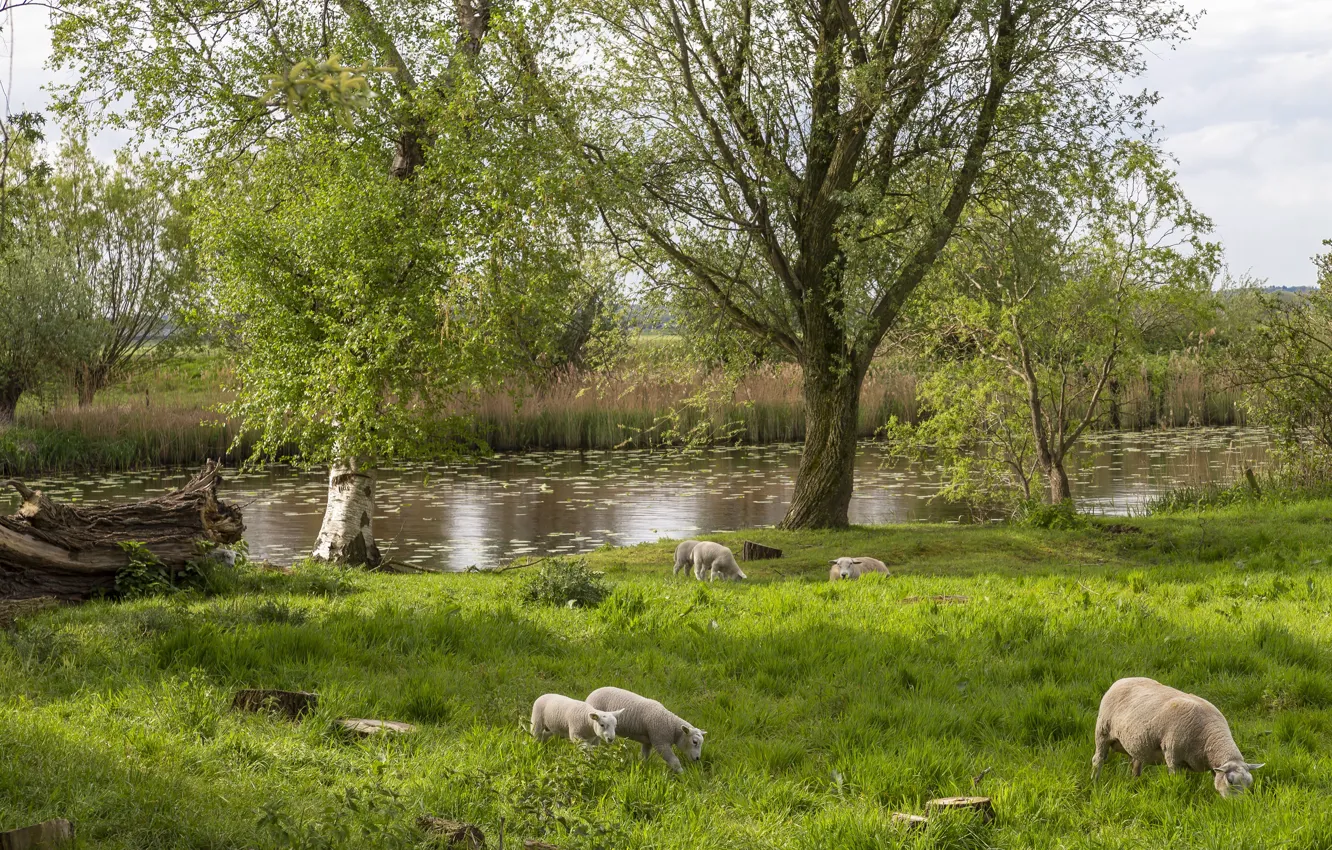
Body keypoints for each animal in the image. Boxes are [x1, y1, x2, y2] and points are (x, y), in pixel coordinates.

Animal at [1091, 676, 1263, 797]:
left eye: (1249, 784)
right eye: (1230, 781)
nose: (1238, 806)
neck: (1209, 738)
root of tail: (1122, 680)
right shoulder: (1173, 757)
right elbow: (1177, 783)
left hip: (1137, 743)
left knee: (1135, 764)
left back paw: (1135, 784)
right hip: (1102, 731)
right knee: (1097, 759)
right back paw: (1095, 781)